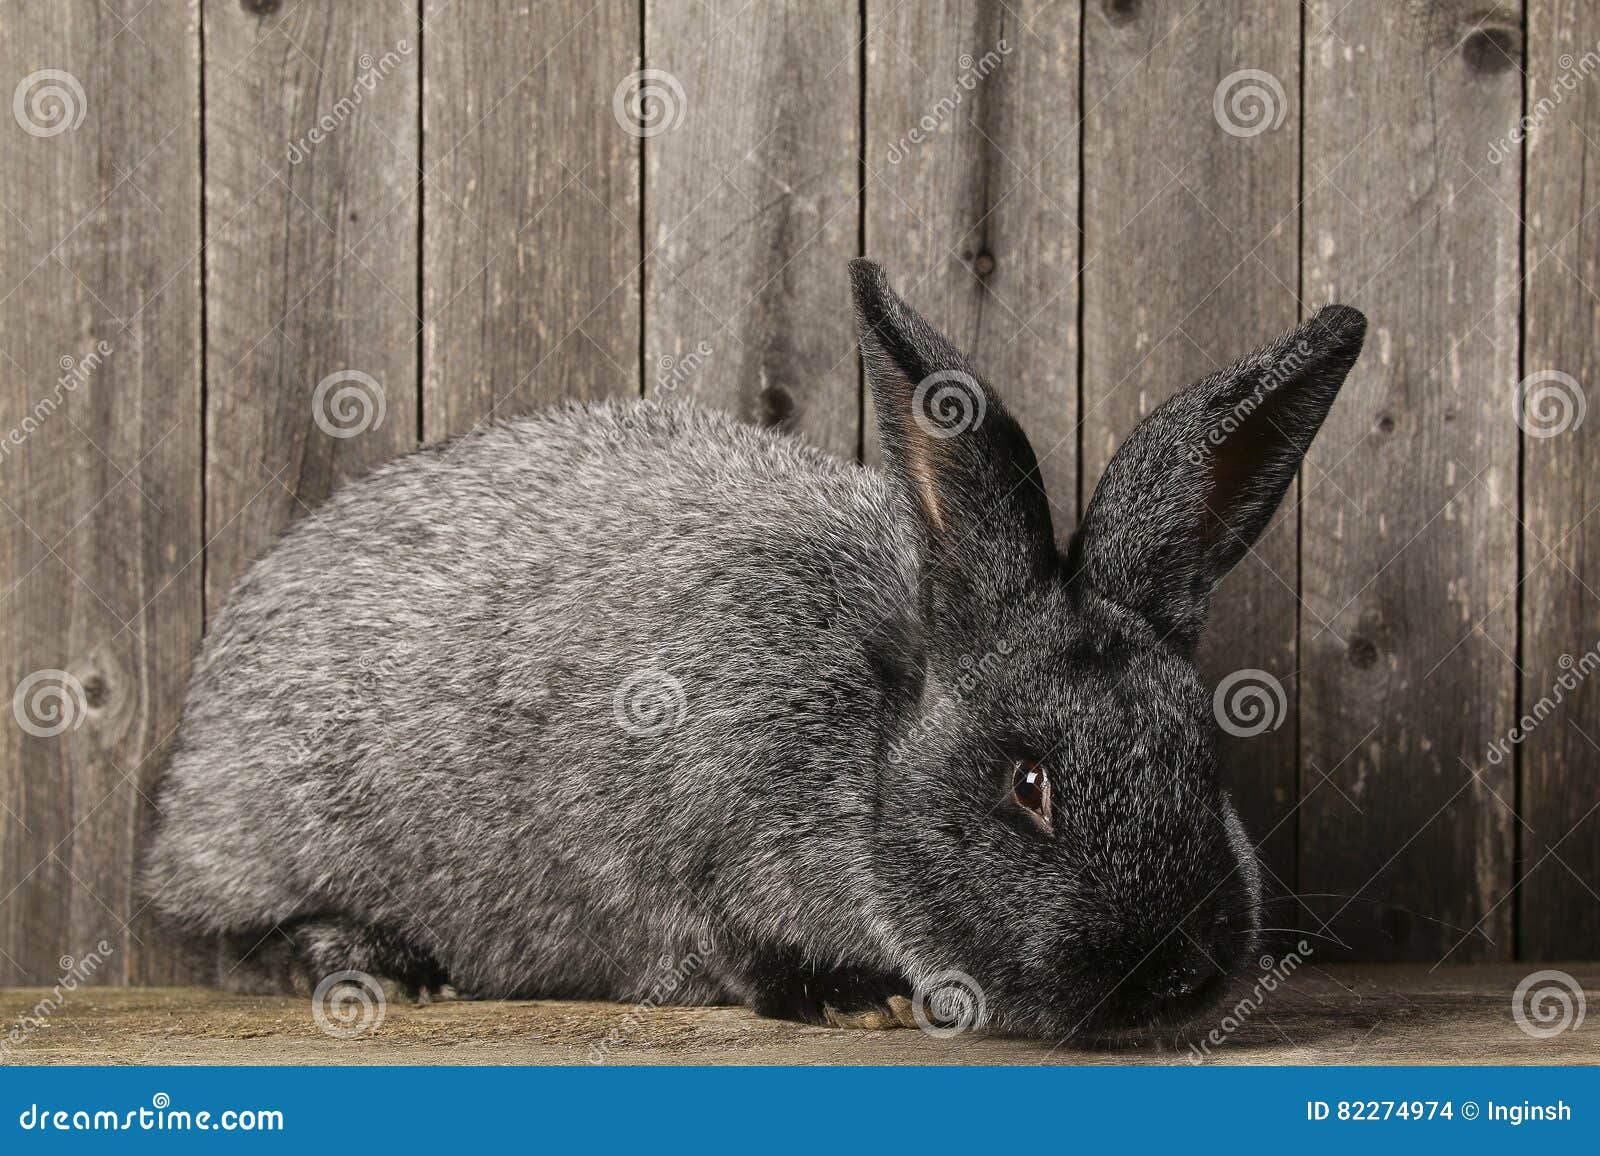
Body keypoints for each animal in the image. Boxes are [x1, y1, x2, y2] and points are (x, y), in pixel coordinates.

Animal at [143, 259, 1366, 1040]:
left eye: (1204, 761)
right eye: (1029, 785)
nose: (1176, 976)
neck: (869, 754)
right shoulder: (696, 864)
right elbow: (743, 953)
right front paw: (858, 1000)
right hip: (259, 832)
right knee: (230, 933)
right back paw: (381, 971)